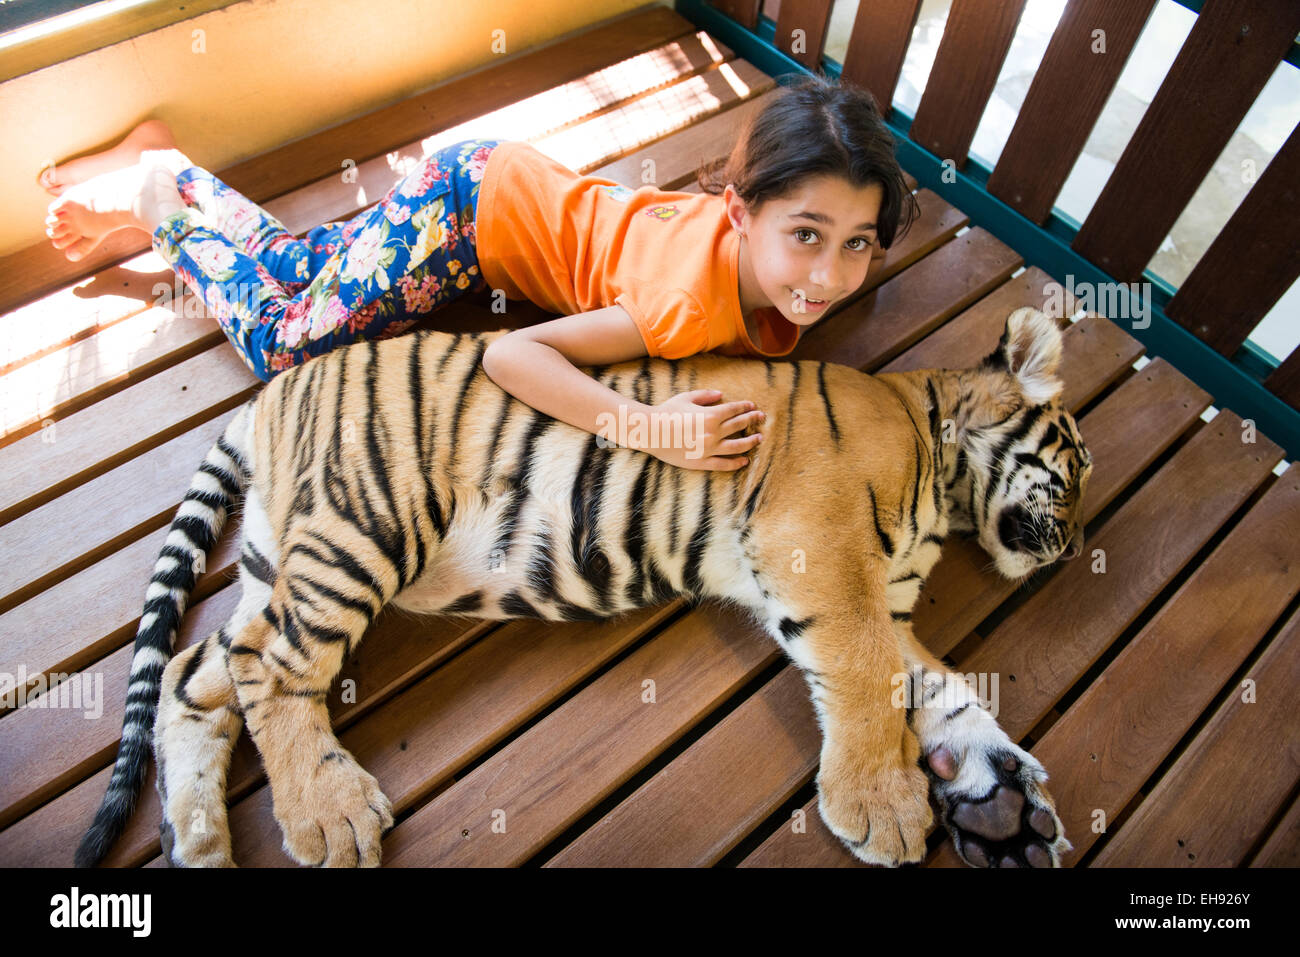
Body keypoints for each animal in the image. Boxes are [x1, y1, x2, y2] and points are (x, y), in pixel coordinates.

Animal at [75, 306, 1090, 869]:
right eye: (1076, 468)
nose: (1075, 550)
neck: (939, 463)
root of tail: (272, 393)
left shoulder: (869, 594)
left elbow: (937, 685)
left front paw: (1005, 802)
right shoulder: (823, 551)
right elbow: (870, 678)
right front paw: (885, 808)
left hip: (279, 551)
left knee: (195, 670)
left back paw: (200, 841)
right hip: (364, 522)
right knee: (265, 662)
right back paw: (330, 814)